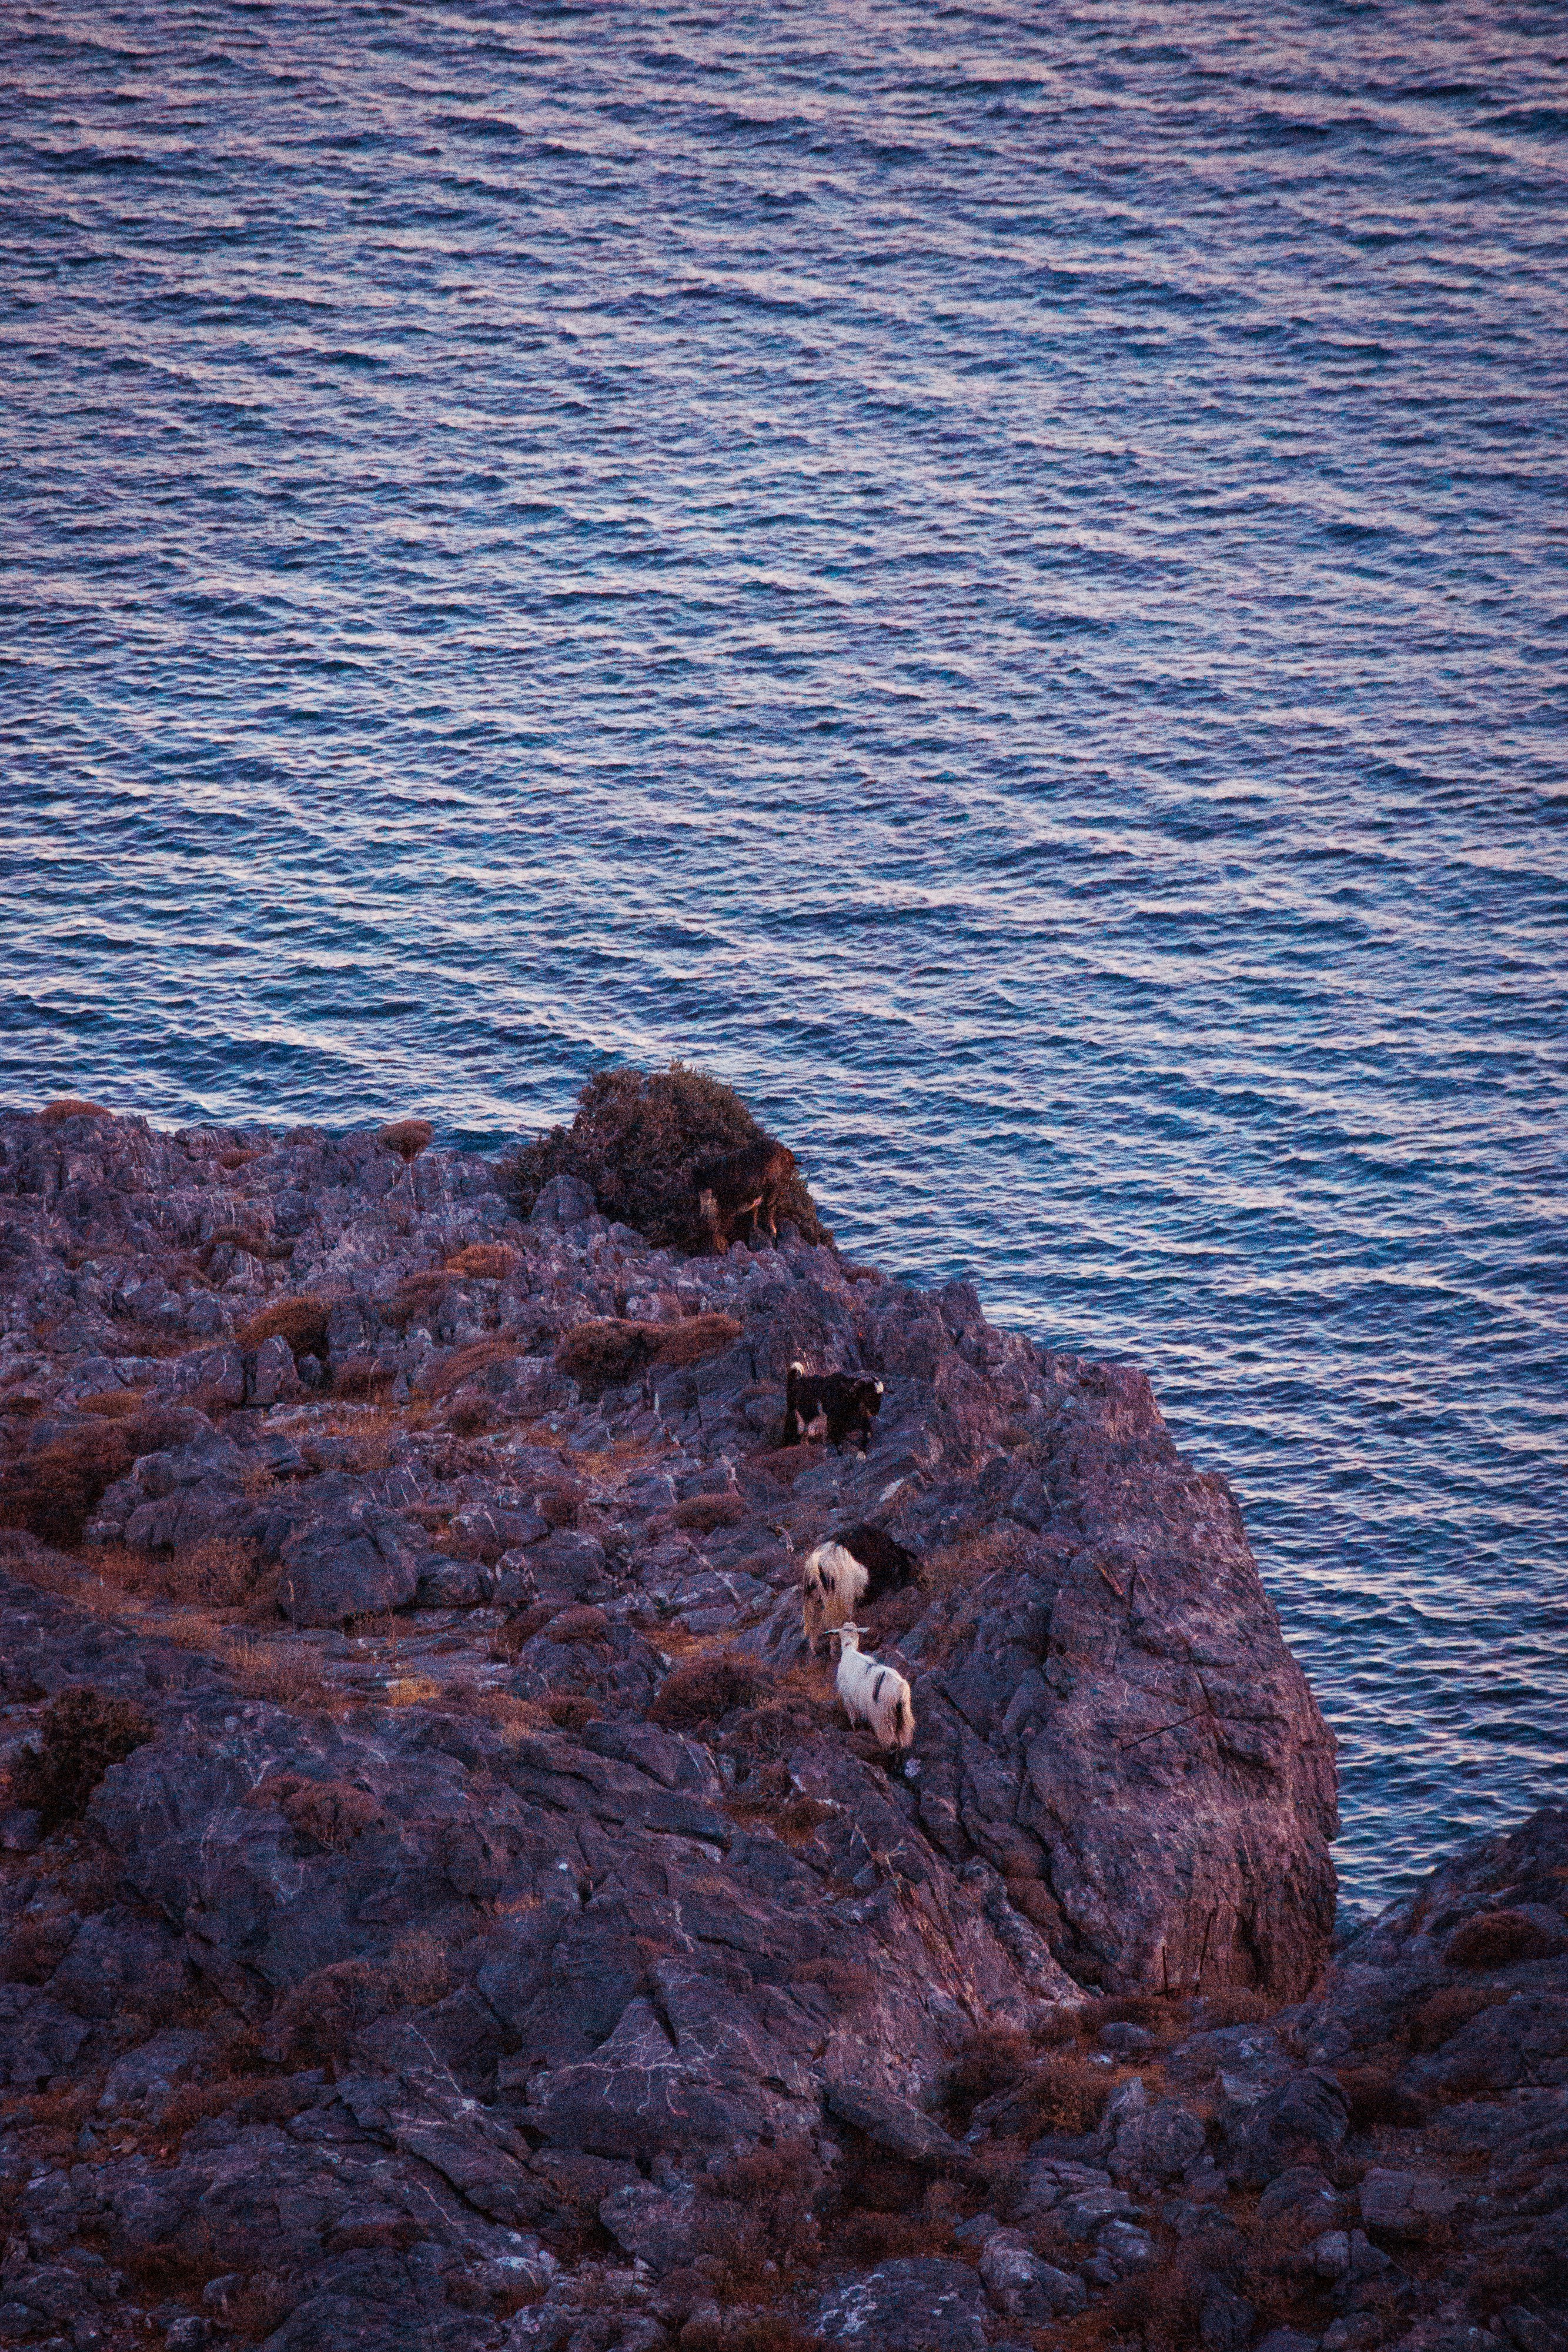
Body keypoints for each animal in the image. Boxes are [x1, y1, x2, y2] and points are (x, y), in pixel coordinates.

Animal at [782, 1361, 884, 1452]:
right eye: (869, 1395)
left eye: (880, 1396)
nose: (875, 1411)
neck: (846, 1392)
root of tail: (794, 1382)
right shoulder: (833, 1418)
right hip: (795, 1413)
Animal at [801, 1523, 920, 1652]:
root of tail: (817, 1567)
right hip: (837, 1600)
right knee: (833, 1622)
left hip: (814, 1602)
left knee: (814, 1625)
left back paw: (816, 1649)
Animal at [833, 1623, 915, 1750]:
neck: (849, 1650)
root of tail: (900, 1689)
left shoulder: (849, 1699)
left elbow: (854, 1718)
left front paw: (855, 1729)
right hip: (904, 1715)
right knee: (904, 1735)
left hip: (881, 1715)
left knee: (888, 1736)